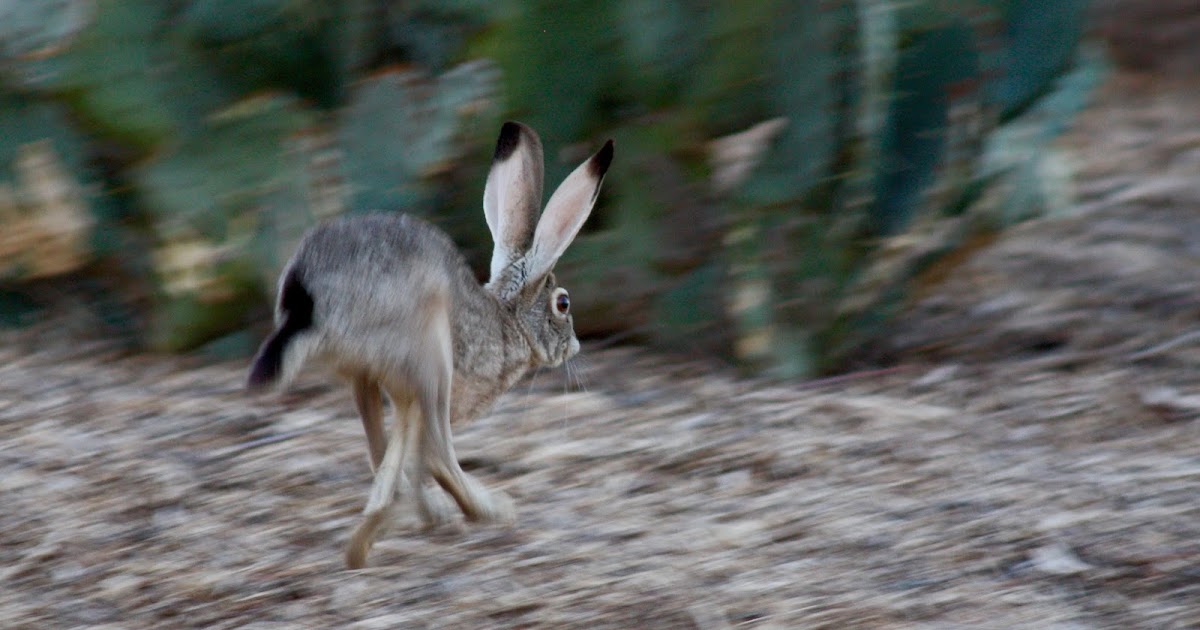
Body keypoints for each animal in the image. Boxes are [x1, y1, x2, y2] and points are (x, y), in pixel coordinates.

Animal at [246, 121, 613, 568]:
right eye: (563, 303)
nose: (574, 346)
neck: (507, 319)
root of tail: (307, 300)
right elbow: (428, 451)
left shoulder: (402, 392)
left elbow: (405, 445)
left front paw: (410, 510)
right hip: (431, 354)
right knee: (438, 449)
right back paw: (482, 510)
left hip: (370, 373)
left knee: (380, 436)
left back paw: (385, 527)